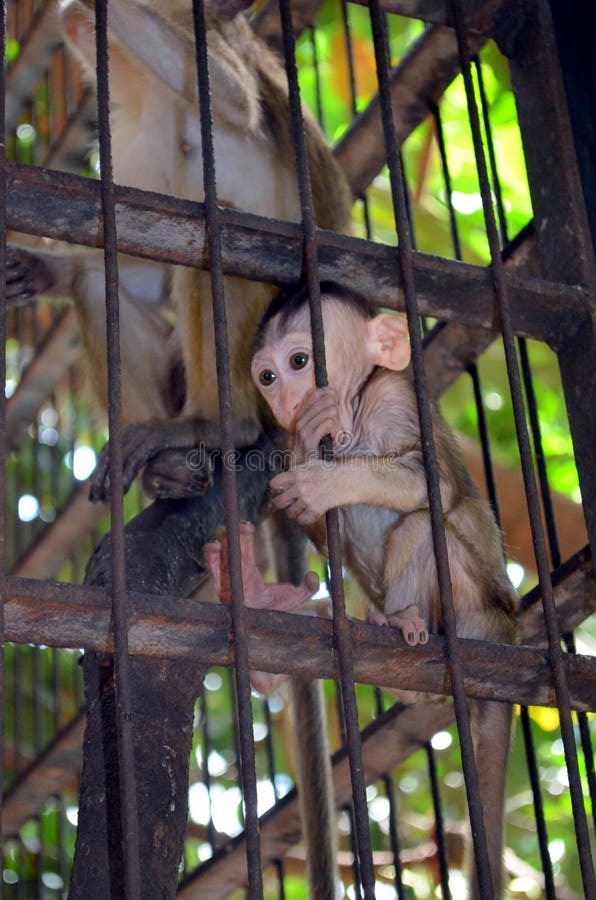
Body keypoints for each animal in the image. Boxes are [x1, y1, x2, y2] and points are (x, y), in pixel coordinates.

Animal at [241, 280, 517, 899]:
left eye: (300, 362)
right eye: (266, 376)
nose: (286, 400)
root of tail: (509, 637)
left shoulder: (394, 397)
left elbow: (430, 484)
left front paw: (324, 476)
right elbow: (325, 532)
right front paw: (304, 450)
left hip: (474, 618)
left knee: (418, 528)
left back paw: (398, 621)